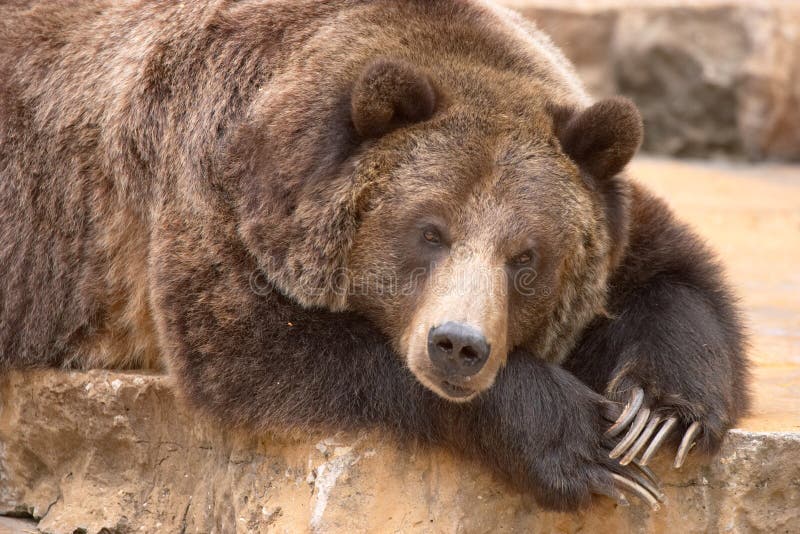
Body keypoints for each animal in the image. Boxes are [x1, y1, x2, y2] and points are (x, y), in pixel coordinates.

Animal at [0, 0, 749, 511]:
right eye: (429, 230)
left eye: (527, 255)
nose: (459, 345)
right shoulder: (205, 185)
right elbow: (258, 348)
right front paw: (587, 441)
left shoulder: (605, 205)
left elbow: (670, 272)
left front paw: (657, 414)